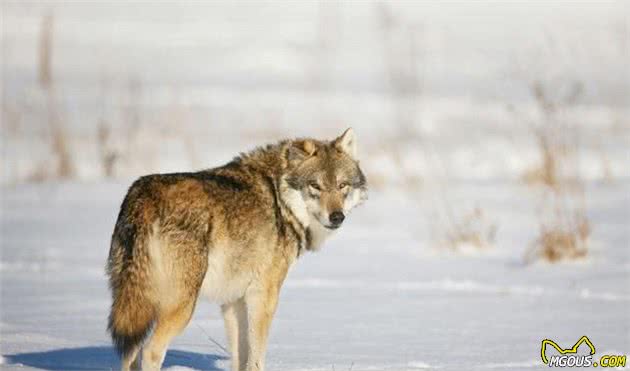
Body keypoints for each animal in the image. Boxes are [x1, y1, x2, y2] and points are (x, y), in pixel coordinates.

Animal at [106, 129, 368, 370]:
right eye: (315, 186)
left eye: (342, 185)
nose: (337, 217)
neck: (280, 201)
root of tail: (143, 197)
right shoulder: (264, 295)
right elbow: (256, 357)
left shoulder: (233, 300)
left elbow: (240, 357)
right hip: (181, 307)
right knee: (150, 350)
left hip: (135, 306)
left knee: (129, 352)